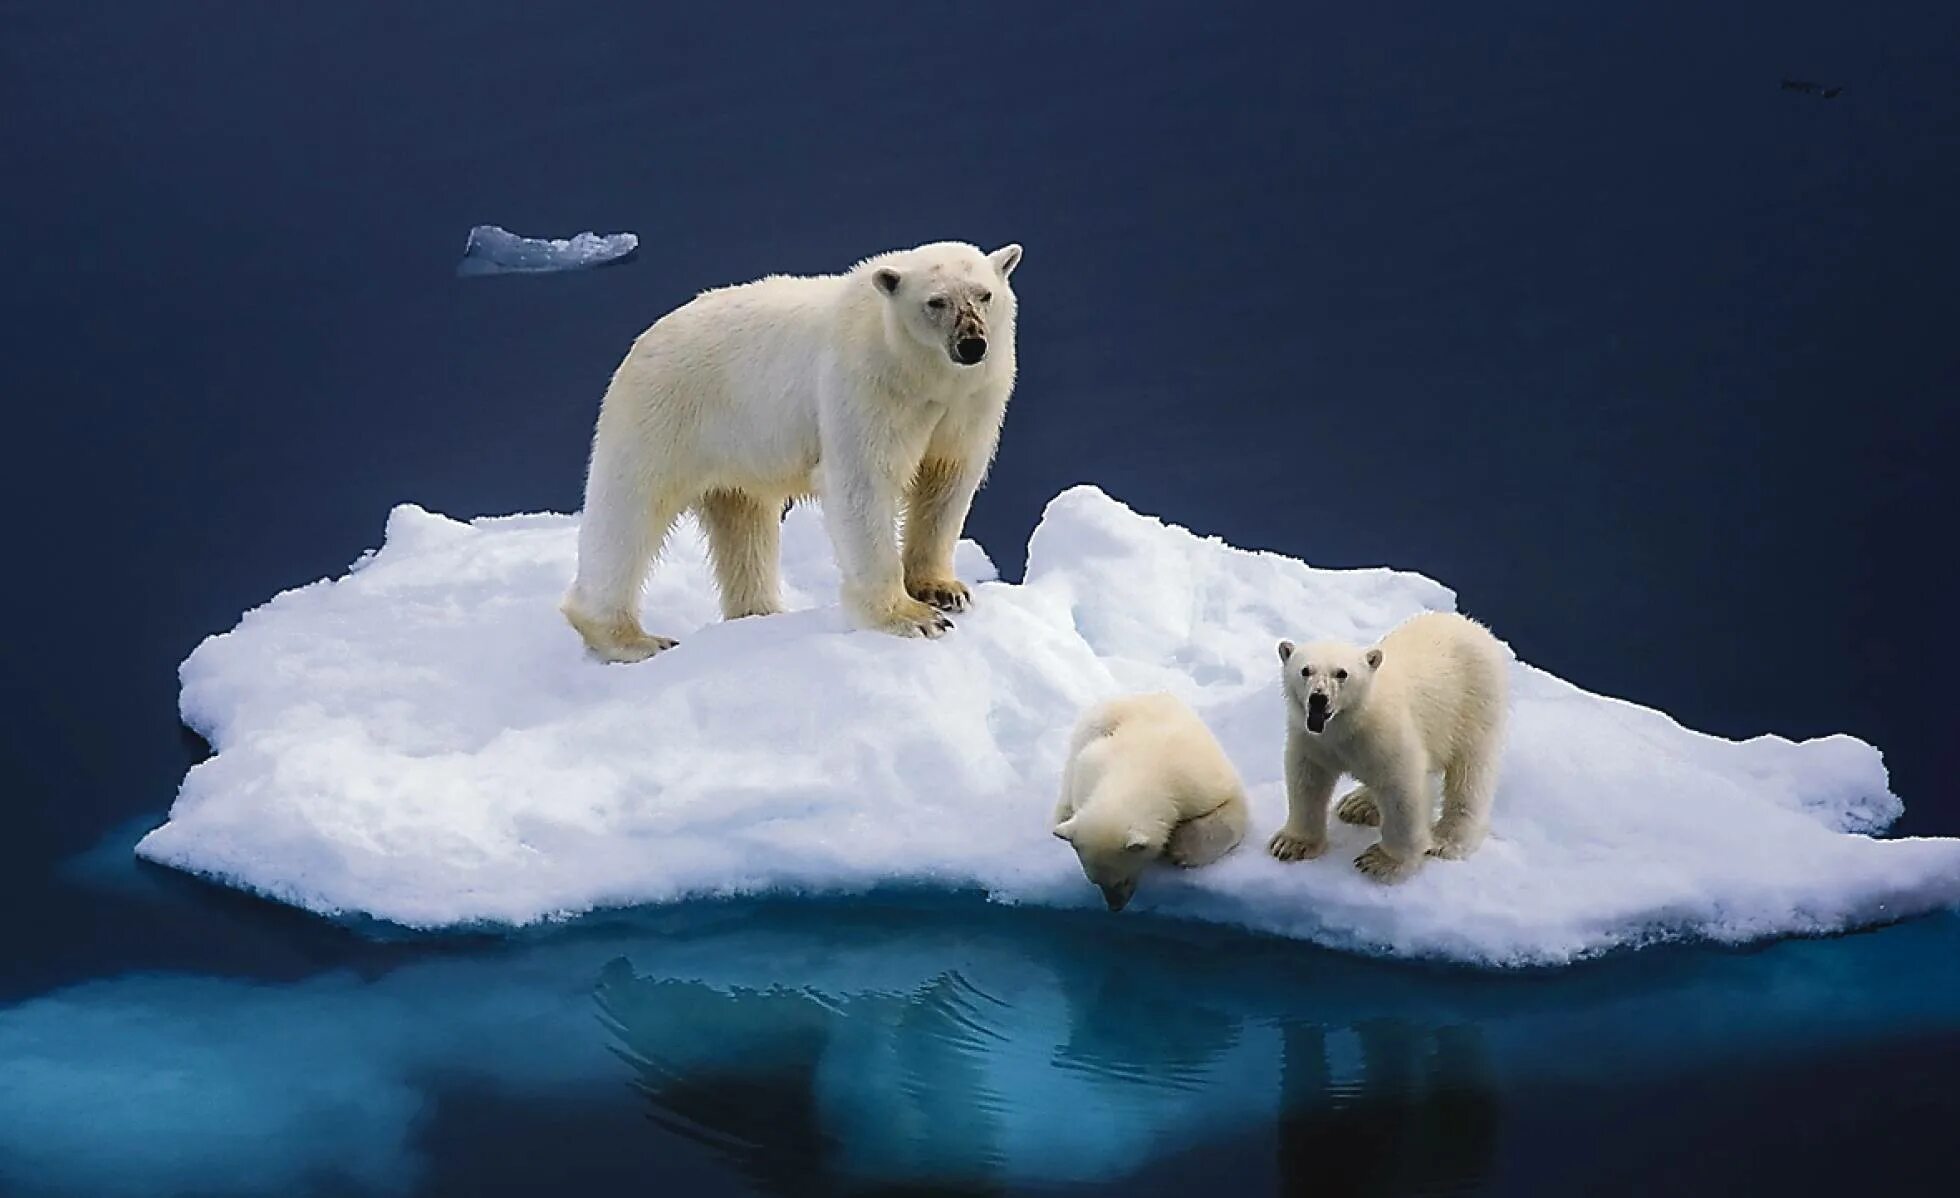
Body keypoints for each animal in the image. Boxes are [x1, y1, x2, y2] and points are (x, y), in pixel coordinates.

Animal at [560, 238, 1027, 662]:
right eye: (936, 302)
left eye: (984, 294)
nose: (972, 344)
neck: (923, 374)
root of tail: (643, 340)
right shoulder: (867, 385)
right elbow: (863, 482)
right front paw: (912, 617)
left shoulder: (973, 399)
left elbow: (947, 480)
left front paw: (944, 591)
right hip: (664, 415)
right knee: (630, 512)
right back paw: (632, 638)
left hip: (736, 447)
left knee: (743, 525)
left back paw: (759, 613)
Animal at [1050, 694, 1246, 909]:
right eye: (1096, 881)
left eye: (1122, 880)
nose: (1115, 907)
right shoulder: (1089, 770)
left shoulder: (1199, 781)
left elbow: (1232, 808)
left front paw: (1180, 849)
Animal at [1262, 615, 1505, 886]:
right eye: (1305, 670)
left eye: (1342, 673)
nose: (1318, 698)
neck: (1351, 722)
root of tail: (1473, 625)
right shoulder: (1313, 741)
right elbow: (1307, 781)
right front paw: (1290, 844)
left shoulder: (1387, 735)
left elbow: (1403, 791)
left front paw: (1381, 862)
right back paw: (1358, 804)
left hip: (1474, 704)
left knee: (1471, 772)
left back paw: (1447, 839)